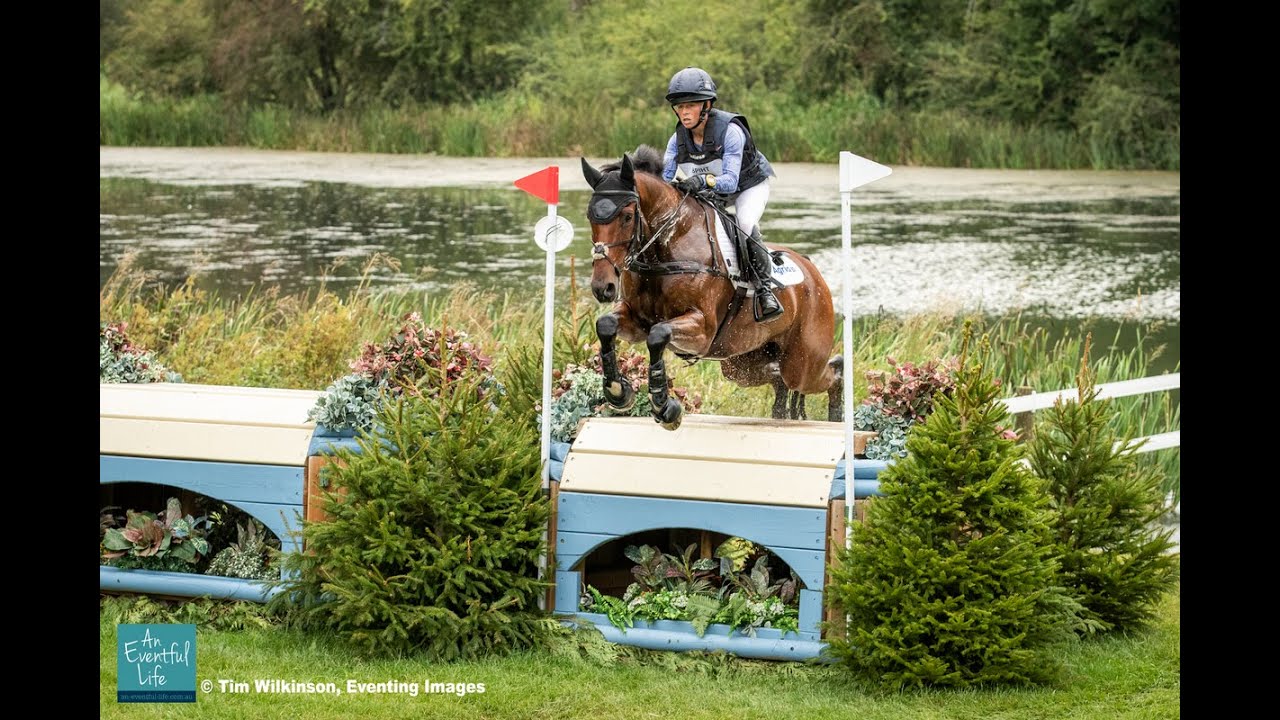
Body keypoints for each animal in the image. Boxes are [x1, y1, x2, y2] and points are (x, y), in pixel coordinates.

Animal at [580, 145, 842, 431]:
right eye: (590, 217)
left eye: (627, 217)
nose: (602, 287)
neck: (667, 246)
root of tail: (813, 271)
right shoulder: (637, 319)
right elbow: (606, 325)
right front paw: (618, 391)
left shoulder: (702, 328)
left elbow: (658, 334)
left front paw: (664, 407)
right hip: (742, 363)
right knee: (777, 376)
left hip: (802, 364)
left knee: (830, 374)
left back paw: (839, 418)